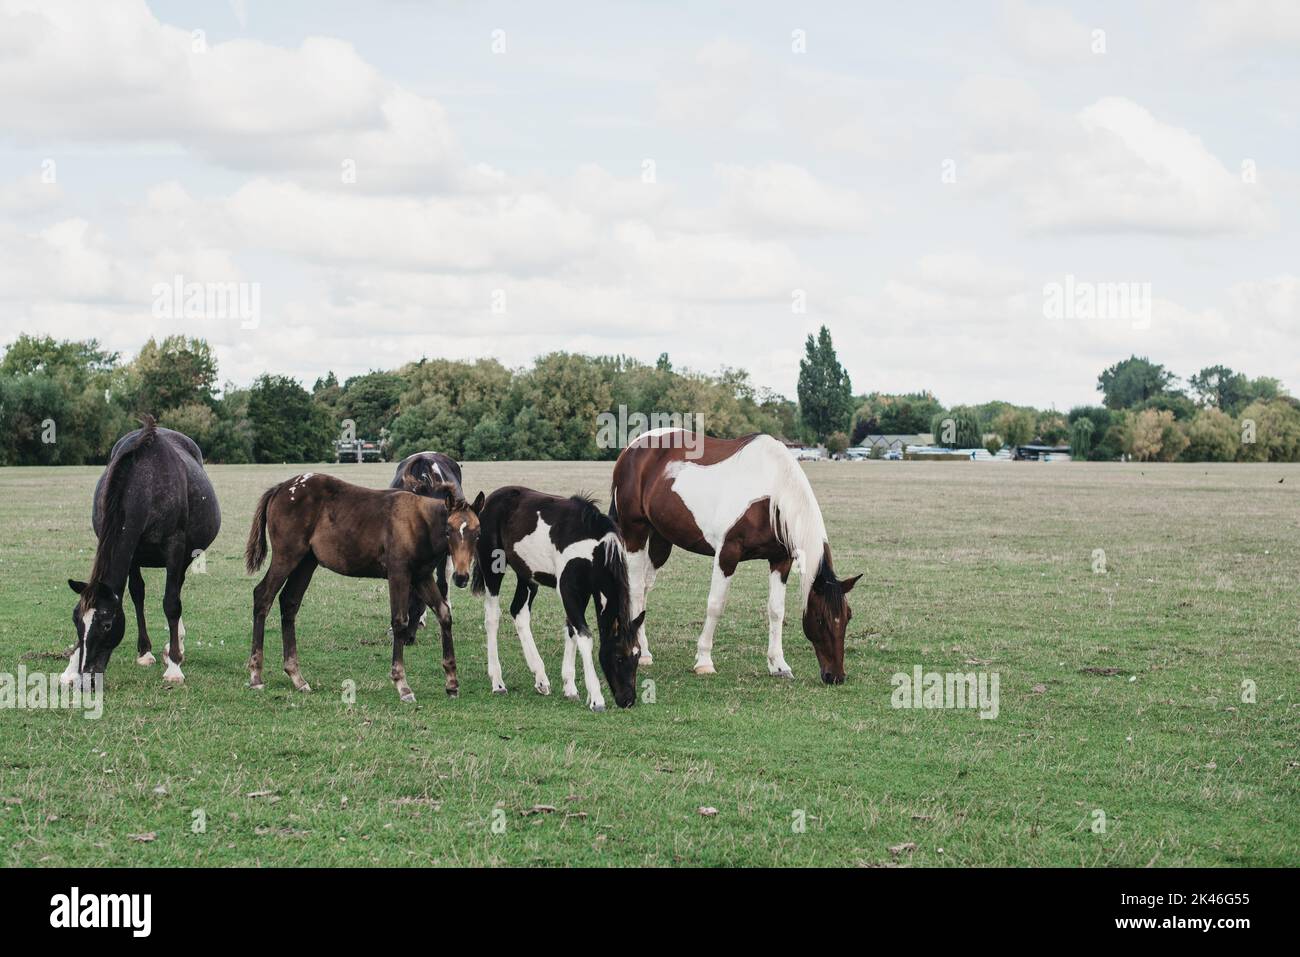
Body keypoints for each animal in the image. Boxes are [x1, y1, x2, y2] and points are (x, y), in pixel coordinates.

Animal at [63, 416, 222, 691]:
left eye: (107, 624)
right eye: (76, 621)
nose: (88, 677)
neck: (144, 483)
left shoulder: (175, 547)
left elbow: (171, 603)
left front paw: (174, 666)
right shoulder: (131, 554)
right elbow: (137, 594)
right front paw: (71, 666)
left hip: (185, 556)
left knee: (176, 591)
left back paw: (175, 647)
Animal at [241, 470, 480, 702]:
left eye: (477, 534)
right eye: (448, 531)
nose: (461, 577)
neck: (419, 522)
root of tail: (281, 488)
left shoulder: (421, 577)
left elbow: (444, 614)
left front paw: (451, 683)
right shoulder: (398, 574)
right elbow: (399, 621)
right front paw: (402, 684)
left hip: (306, 562)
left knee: (289, 602)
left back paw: (297, 677)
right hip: (287, 556)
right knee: (263, 596)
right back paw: (256, 675)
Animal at [473, 486, 644, 712]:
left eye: (638, 655)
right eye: (619, 657)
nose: (628, 700)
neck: (594, 546)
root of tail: (490, 500)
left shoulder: (584, 591)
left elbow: (571, 630)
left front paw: (570, 688)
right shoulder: (568, 589)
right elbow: (584, 636)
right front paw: (596, 698)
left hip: (527, 575)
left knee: (519, 612)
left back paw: (540, 678)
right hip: (492, 568)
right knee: (492, 617)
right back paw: (498, 682)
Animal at [611, 429, 863, 686]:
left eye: (848, 616)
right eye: (820, 619)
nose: (836, 676)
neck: (771, 492)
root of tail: (632, 448)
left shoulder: (781, 560)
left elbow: (776, 610)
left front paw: (779, 665)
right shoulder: (727, 554)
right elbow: (715, 605)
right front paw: (704, 661)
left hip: (661, 540)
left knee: (645, 587)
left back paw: (644, 651)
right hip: (635, 533)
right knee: (635, 588)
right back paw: (639, 652)